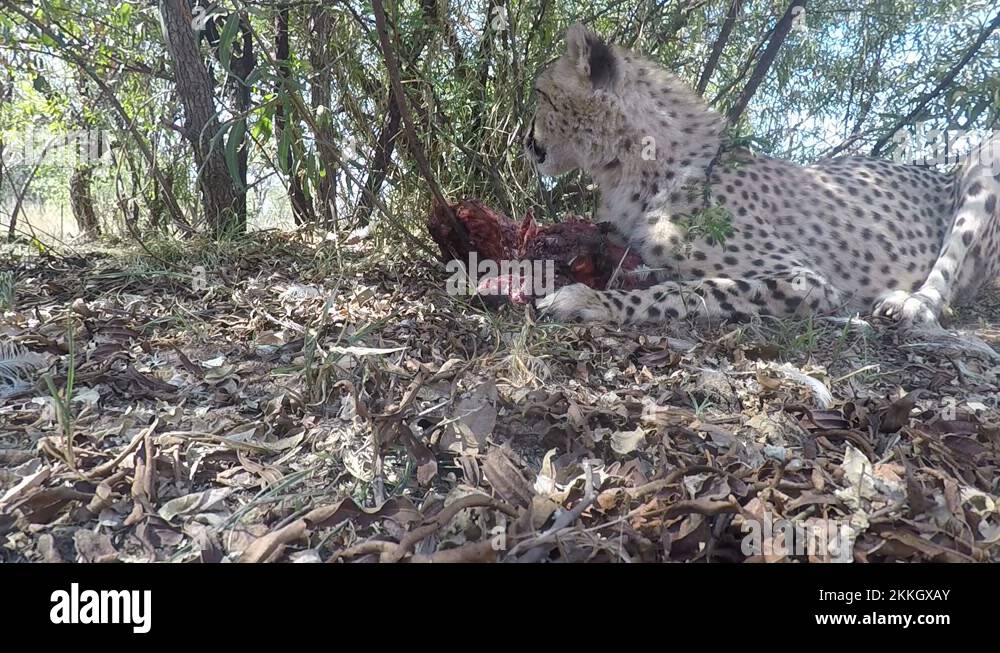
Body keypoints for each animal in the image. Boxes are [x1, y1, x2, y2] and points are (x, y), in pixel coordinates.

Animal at [527, 24, 1000, 329]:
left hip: (985, 155)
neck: (635, 162)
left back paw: (912, 304)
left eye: (540, 93)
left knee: (945, 283)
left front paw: (588, 299)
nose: (528, 143)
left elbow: (692, 290)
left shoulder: (808, 280)